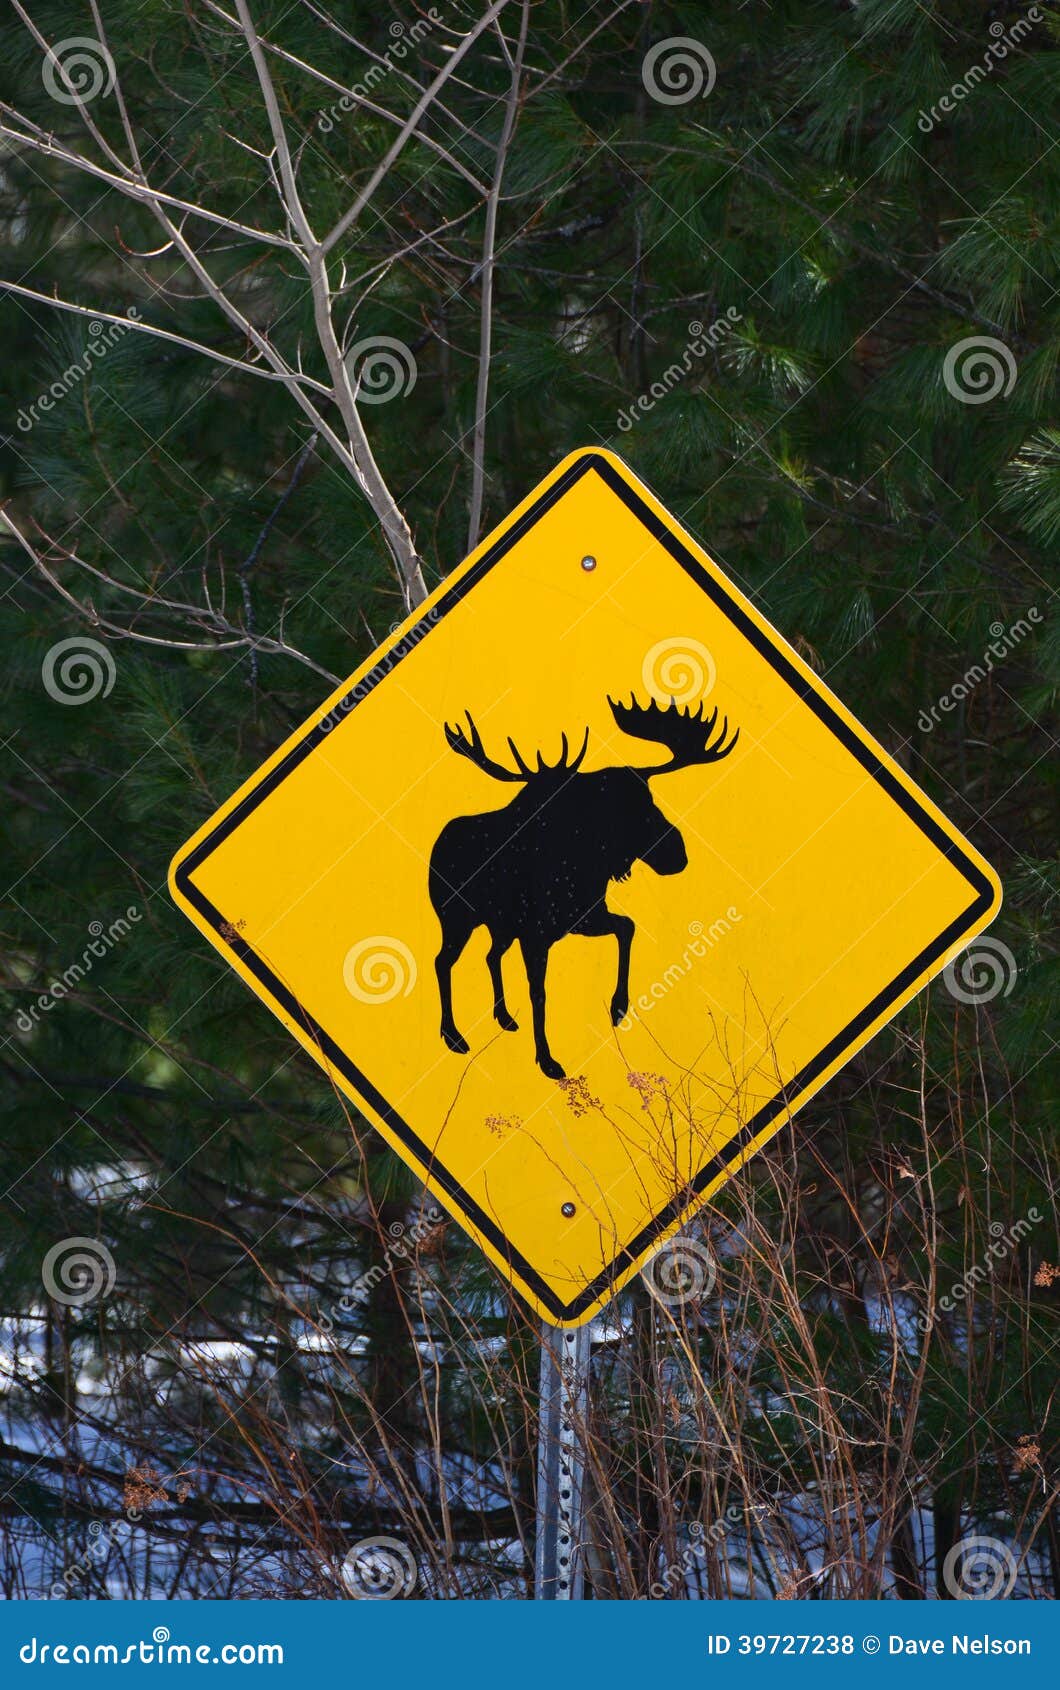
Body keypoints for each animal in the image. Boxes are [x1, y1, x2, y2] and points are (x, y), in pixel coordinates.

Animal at [428, 694, 739, 1080]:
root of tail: (437, 845)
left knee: (490, 955)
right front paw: (547, 1060)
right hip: (456, 919)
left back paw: (504, 1017)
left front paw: (619, 1007)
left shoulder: (583, 919)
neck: (582, 868)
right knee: (443, 961)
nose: (675, 853)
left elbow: (627, 927)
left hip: (499, 927)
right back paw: (453, 1036)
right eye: (612, 807)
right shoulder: (536, 936)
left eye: (649, 797)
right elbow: (539, 992)